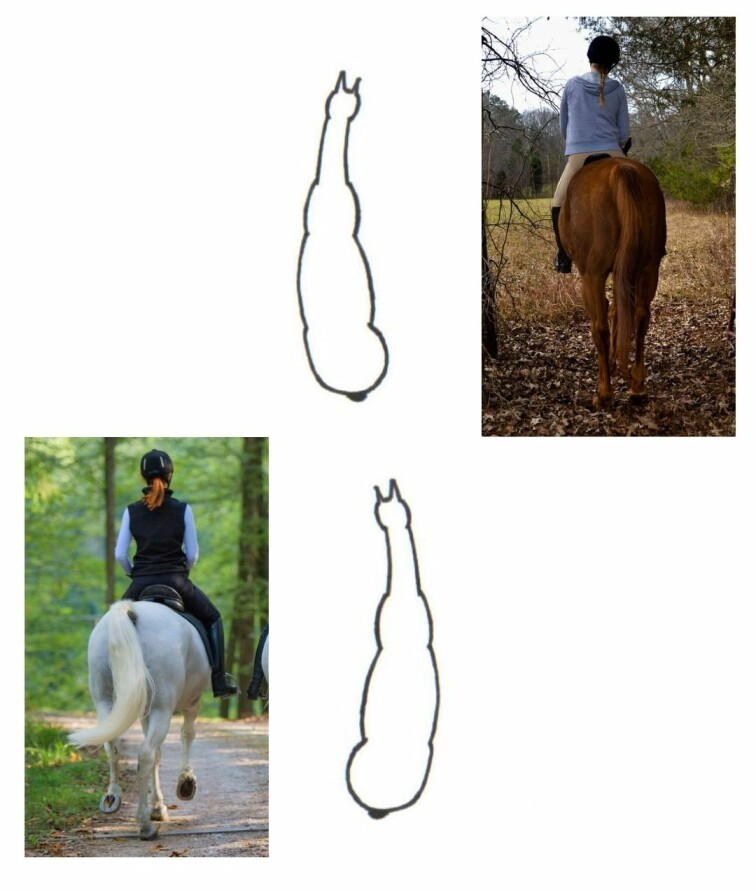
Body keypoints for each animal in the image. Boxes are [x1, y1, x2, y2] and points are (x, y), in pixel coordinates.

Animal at [68, 597, 211, 840]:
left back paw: (112, 797)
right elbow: (187, 735)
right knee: (145, 754)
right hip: (162, 707)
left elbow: (159, 754)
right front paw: (185, 783)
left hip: (104, 701)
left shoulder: (146, 712)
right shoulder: (192, 703)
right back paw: (145, 825)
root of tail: (132, 611)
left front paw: (158, 807)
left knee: (113, 745)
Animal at [559, 156, 666, 409]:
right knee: (641, 316)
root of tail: (620, 169)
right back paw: (637, 386)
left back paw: (603, 394)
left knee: (599, 327)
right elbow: (618, 310)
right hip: (649, 268)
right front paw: (616, 359)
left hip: (592, 276)